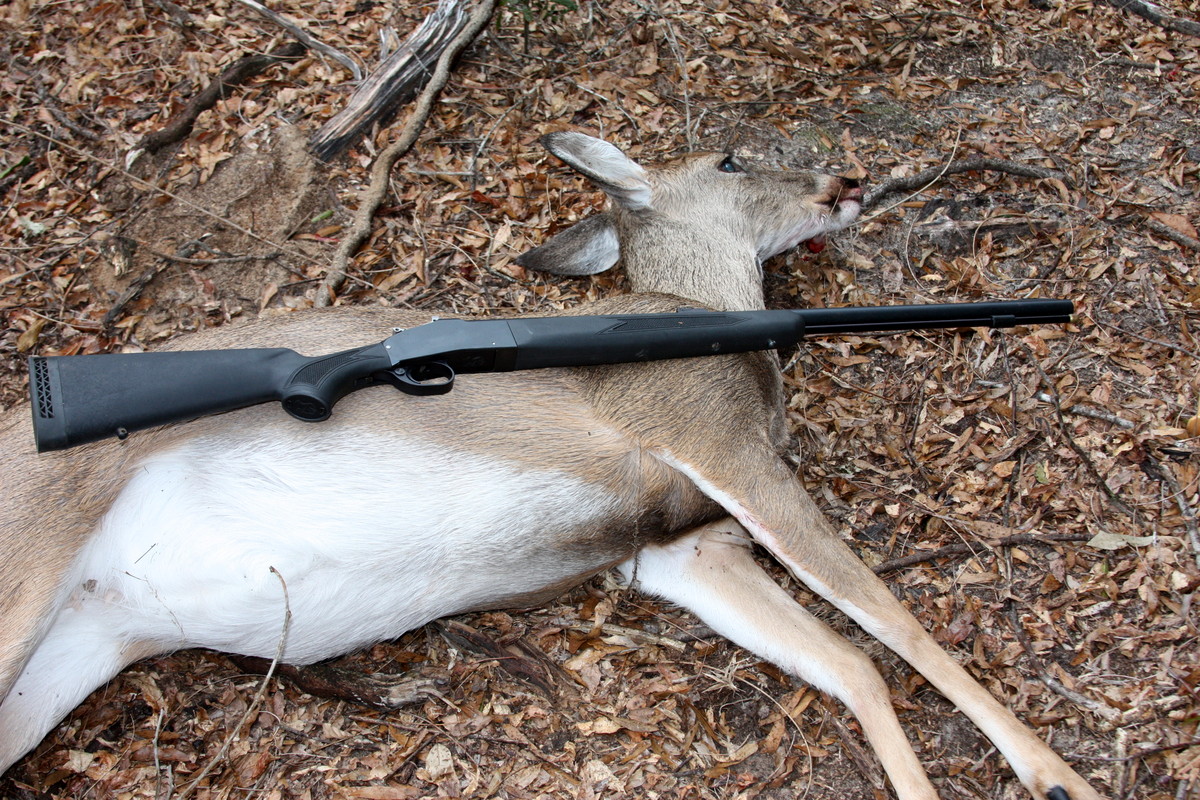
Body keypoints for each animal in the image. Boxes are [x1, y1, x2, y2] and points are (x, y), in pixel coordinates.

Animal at [0, 132, 1101, 800]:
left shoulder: (682, 547)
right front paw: (1059, 771)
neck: (707, 315)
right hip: (23, 584)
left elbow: (848, 659)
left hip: (73, 653)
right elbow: (894, 617)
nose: (848, 181)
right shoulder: (714, 440)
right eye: (732, 156)